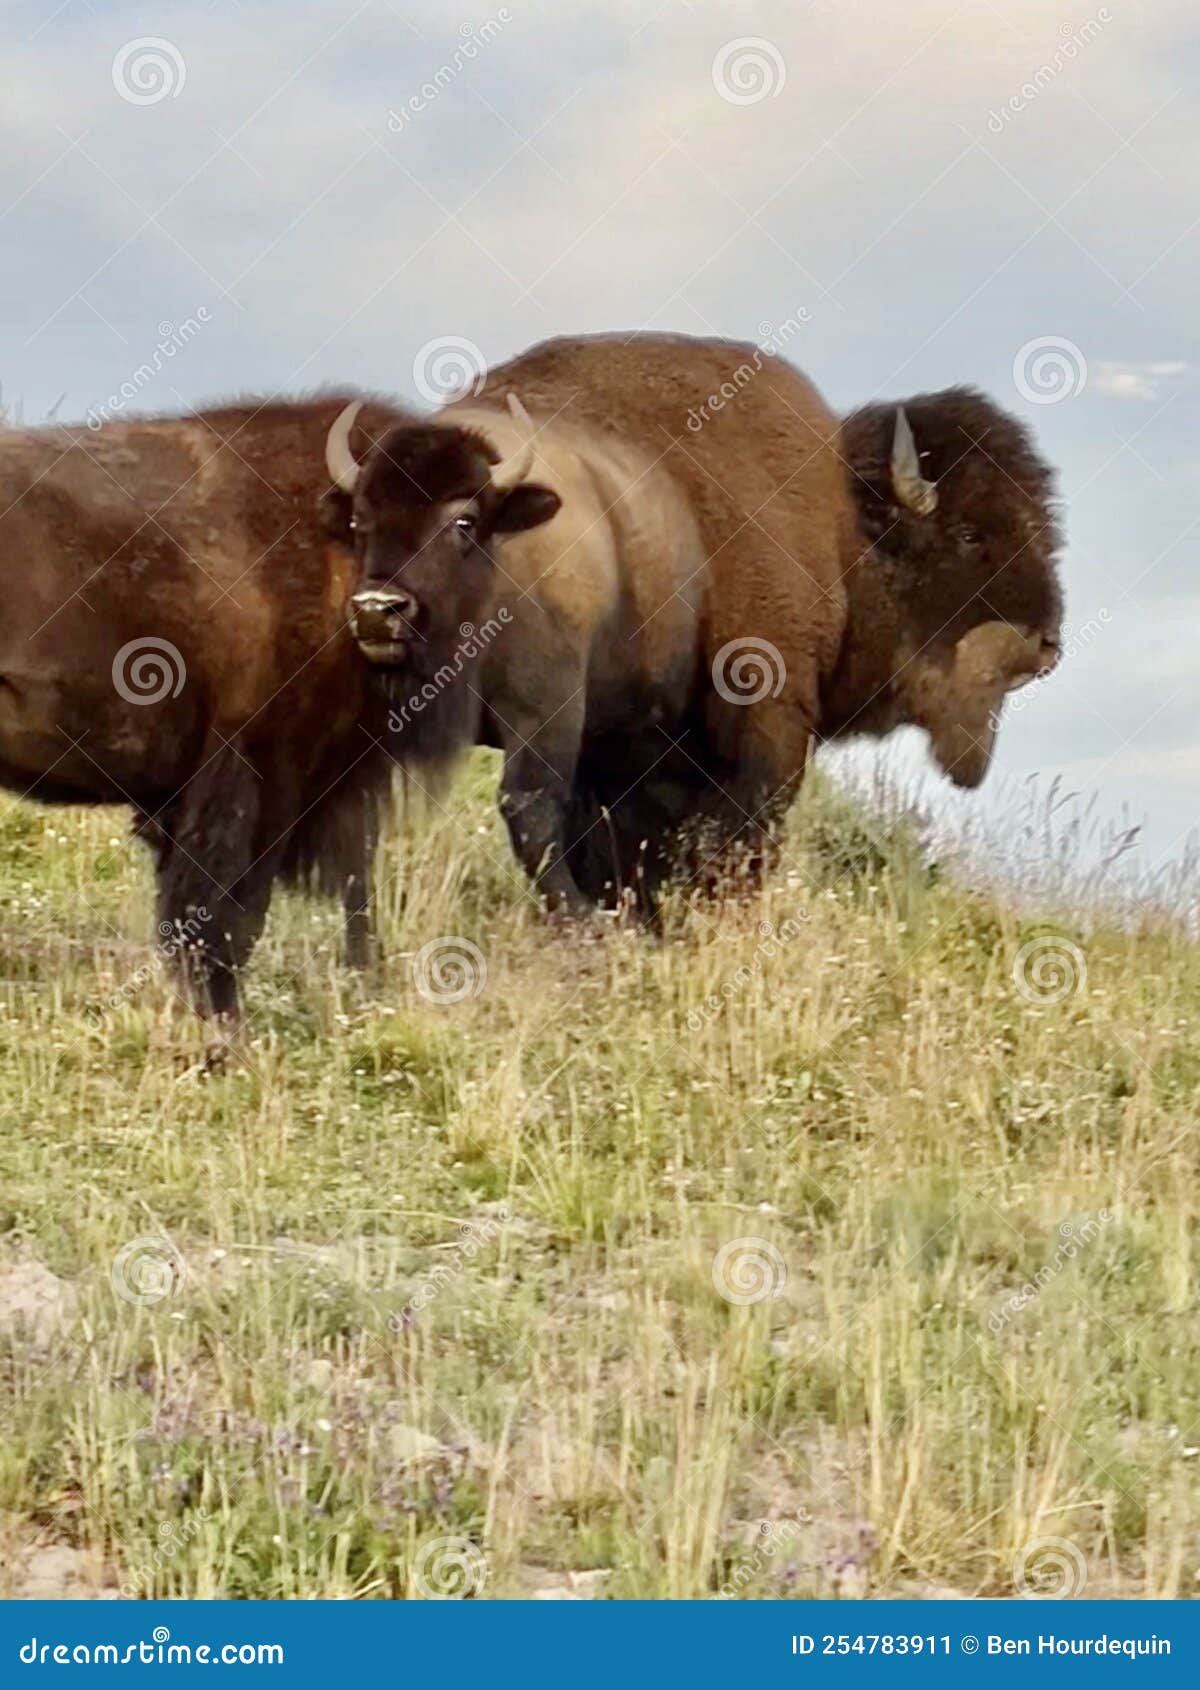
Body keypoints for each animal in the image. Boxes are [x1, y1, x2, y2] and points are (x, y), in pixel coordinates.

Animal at [0, 396, 560, 1024]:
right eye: (361, 519)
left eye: (464, 521)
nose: (377, 610)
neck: (325, 553)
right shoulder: (258, 775)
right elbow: (225, 912)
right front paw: (223, 1018)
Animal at [326, 332, 1062, 913]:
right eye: (970, 535)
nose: (1048, 642)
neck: (841, 527)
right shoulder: (767, 722)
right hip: (542, 709)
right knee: (527, 806)